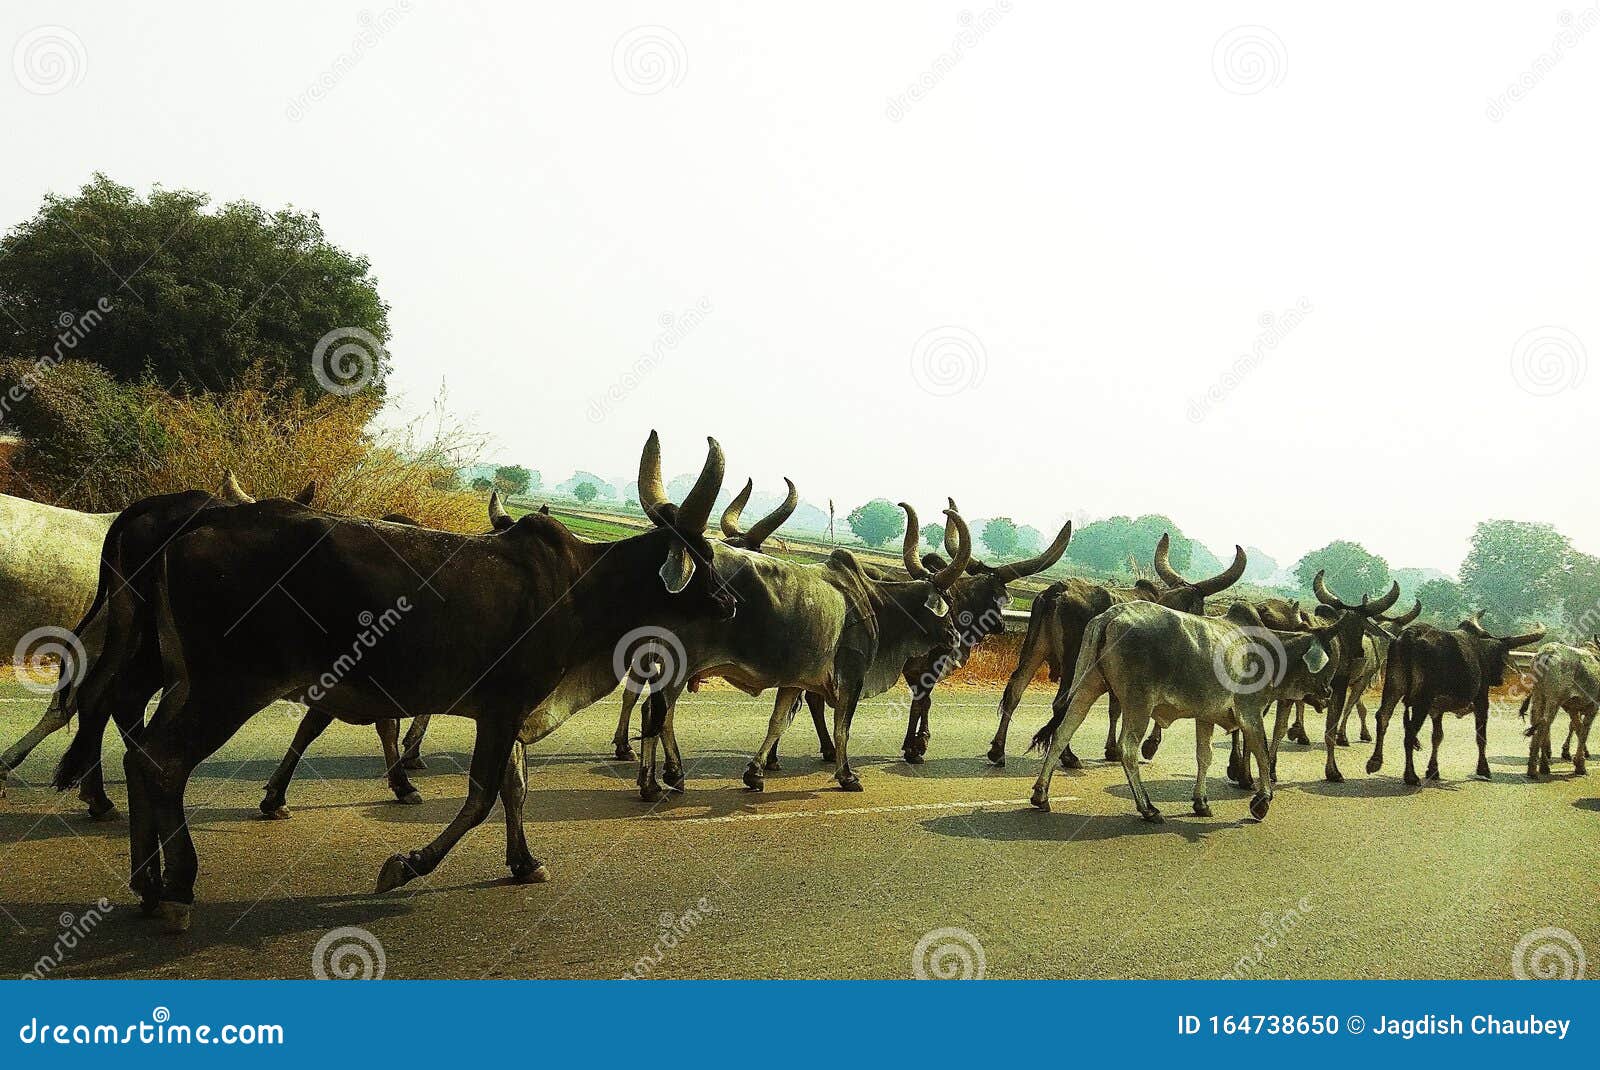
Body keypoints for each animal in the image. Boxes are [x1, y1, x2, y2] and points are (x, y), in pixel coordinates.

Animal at [53, 433, 735, 931]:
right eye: (703, 556)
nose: (730, 602)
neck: (579, 588)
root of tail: (190, 527)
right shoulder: (504, 706)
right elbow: (481, 797)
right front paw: (406, 865)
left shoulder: (510, 712)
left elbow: (513, 790)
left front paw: (525, 863)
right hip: (225, 687)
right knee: (160, 759)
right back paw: (175, 886)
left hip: (177, 676)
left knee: (134, 741)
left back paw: (145, 881)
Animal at [987, 534, 1247, 767]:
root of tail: (1056, 592)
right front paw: (1145, 747)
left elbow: (1115, 709)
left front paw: (1112, 749)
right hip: (1072, 663)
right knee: (1062, 703)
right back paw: (1068, 757)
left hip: (1034, 651)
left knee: (1015, 690)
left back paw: (998, 751)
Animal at [1026, 600, 1337, 822]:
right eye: (1327, 663)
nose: (1328, 694)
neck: (1273, 652)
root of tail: (1110, 616)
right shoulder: (1250, 713)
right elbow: (1260, 751)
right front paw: (1262, 801)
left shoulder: (1206, 716)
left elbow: (1204, 756)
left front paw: (1201, 802)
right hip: (1139, 702)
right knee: (1127, 749)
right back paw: (1147, 808)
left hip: (1089, 687)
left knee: (1063, 733)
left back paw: (1041, 794)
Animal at [1364, 616, 1546, 785]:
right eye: (1500, 657)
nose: (1500, 679)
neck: (1482, 648)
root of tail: (1411, 634)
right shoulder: (1481, 701)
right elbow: (1481, 737)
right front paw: (1483, 769)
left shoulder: (1437, 709)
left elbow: (1437, 737)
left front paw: (1433, 770)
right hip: (1421, 701)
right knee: (1409, 733)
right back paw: (1410, 776)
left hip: (1393, 687)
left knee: (1383, 717)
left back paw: (1375, 762)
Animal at [1518, 641, 1600, 778]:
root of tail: (1546, 653)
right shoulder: (1593, 706)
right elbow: (1584, 732)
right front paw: (1580, 766)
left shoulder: (1573, 709)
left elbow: (1577, 728)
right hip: (1554, 699)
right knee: (1545, 724)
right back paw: (1538, 768)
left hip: (1538, 695)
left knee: (1537, 721)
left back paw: (1537, 766)